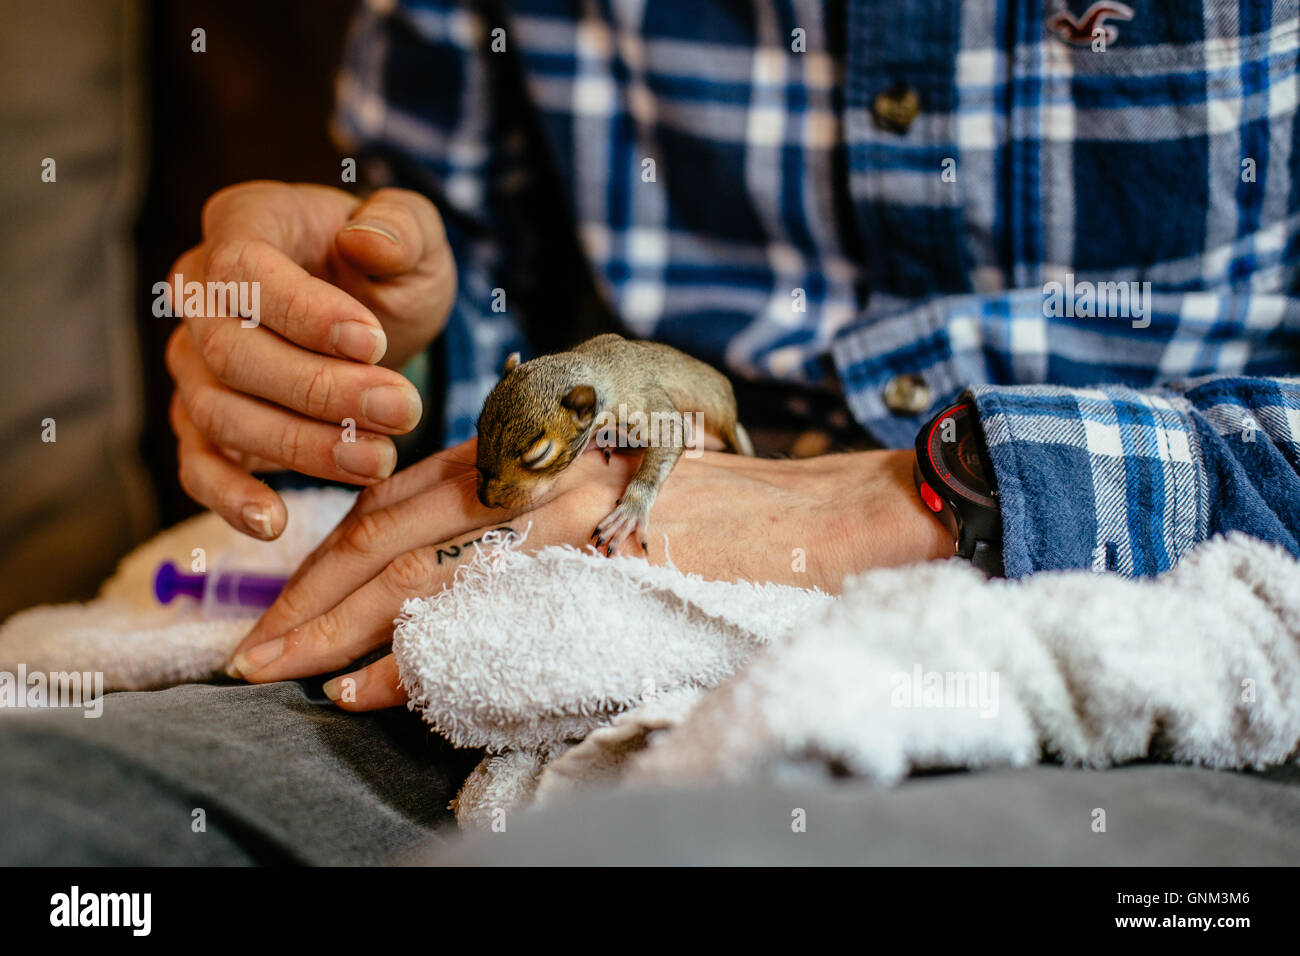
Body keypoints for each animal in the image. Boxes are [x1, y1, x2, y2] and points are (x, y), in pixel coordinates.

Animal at [475, 333, 754, 554]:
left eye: (540, 455)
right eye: (478, 426)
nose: (486, 500)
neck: (601, 366)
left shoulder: (640, 398)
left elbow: (672, 431)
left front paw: (632, 509)